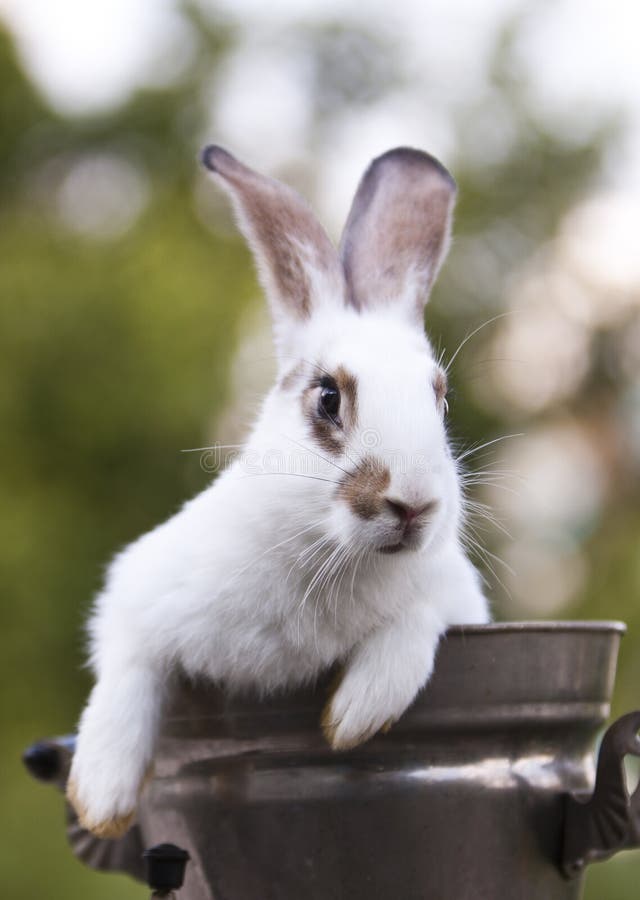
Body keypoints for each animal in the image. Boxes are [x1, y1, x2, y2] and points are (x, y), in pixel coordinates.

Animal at [66, 145, 489, 839]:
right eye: (327, 398)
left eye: (441, 398)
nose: (414, 505)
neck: (328, 558)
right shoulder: (135, 597)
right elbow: (127, 670)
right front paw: (101, 799)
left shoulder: (451, 597)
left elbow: (415, 624)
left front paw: (355, 716)